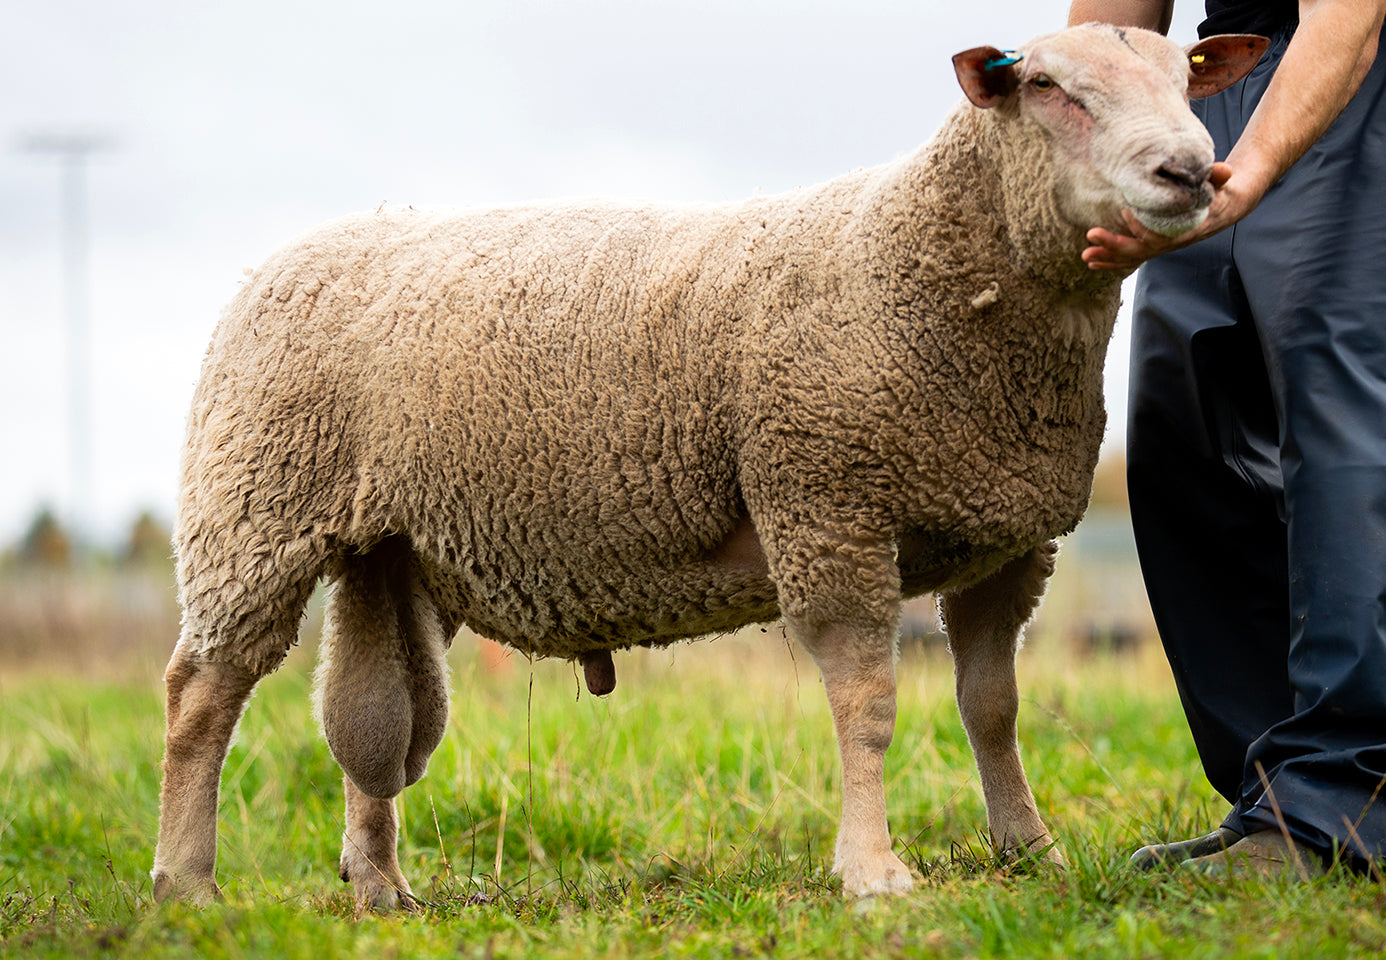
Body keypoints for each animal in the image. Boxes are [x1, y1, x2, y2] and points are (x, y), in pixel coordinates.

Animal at [151, 24, 1266, 907]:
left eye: (1186, 78)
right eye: (1047, 87)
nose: (1189, 172)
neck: (917, 266)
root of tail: (278, 261)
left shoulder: (1006, 540)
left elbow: (992, 707)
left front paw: (1030, 852)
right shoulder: (826, 506)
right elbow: (867, 706)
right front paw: (874, 872)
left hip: (388, 549)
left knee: (367, 718)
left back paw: (380, 887)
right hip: (253, 511)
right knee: (201, 698)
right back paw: (188, 883)